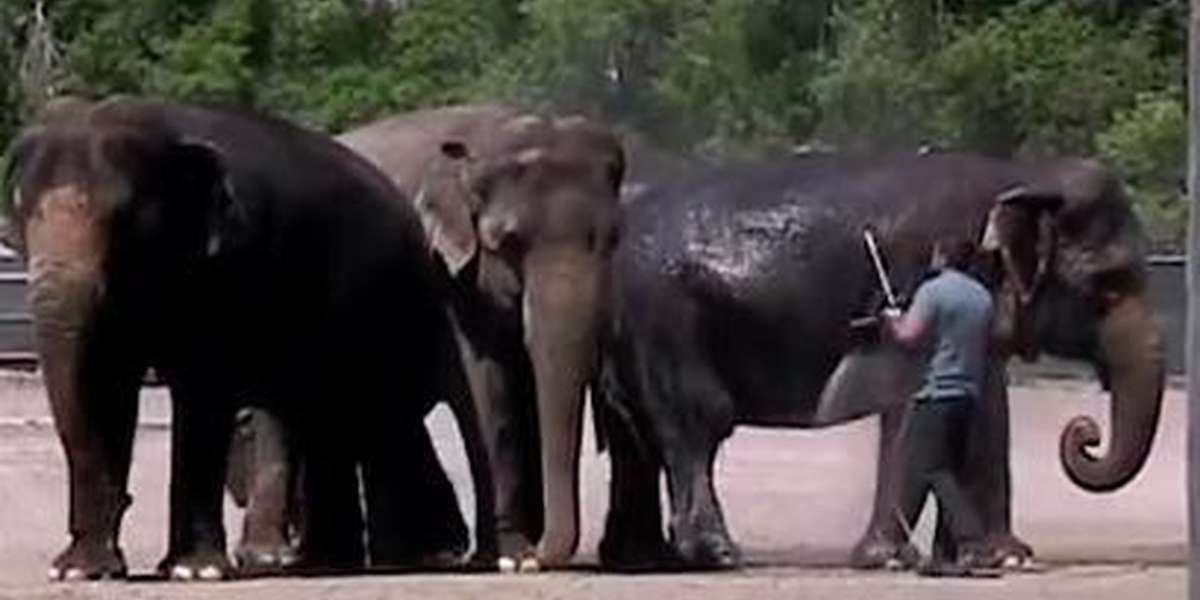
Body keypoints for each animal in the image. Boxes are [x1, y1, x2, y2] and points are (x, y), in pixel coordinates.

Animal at [0, 96, 478, 580]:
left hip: (390, 306)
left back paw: (404, 557)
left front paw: (194, 572)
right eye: (23, 214)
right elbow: (105, 383)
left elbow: (201, 389)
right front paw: (82, 572)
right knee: (326, 414)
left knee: (375, 411)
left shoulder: (228, 270)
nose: (126, 500)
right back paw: (326, 560)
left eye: (123, 219)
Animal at [334, 105, 625, 570]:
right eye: (507, 242)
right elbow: (485, 392)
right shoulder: (447, 278)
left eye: (613, 238)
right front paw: (511, 556)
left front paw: (520, 553)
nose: (541, 555)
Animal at [595, 151, 1165, 570]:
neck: (1022, 174)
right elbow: (914, 403)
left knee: (634, 437)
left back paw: (642, 559)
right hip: (667, 320)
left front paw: (1000, 557)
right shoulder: (918, 278)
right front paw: (891, 559)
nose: (1086, 431)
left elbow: (983, 404)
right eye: (1108, 287)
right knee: (697, 425)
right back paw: (717, 556)